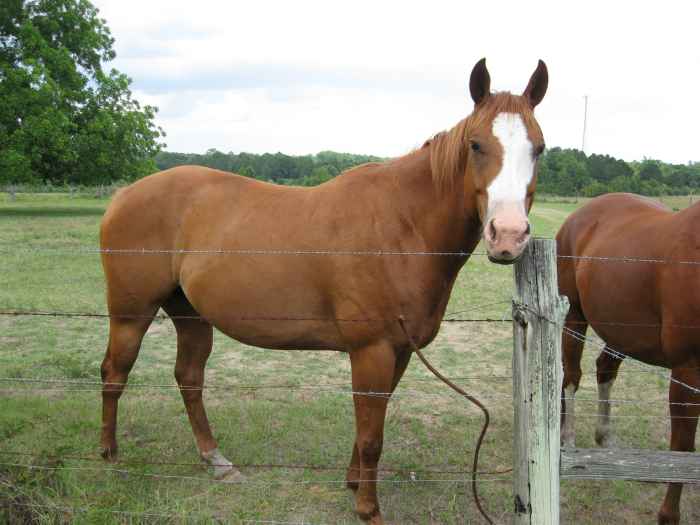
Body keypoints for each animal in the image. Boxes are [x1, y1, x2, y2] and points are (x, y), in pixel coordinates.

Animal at [99, 58, 548, 524]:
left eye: (539, 148)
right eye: (476, 145)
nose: (508, 235)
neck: (402, 226)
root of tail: (125, 194)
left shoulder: (400, 352)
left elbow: (370, 424)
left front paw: (354, 484)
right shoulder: (372, 350)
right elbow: (371, 437)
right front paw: (368, 509)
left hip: (190, 315)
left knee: (188, 379)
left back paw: (215, 459)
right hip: (131, 315)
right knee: (114, 373)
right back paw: (110, 454)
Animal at [557, 192, 700, 524]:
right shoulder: (687, 371)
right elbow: (683, 448)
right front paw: (668, 515)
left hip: (621, 330)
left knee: (605, 370)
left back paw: (609, 444)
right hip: (575, 316)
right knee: (571, 376)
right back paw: (568, 440)